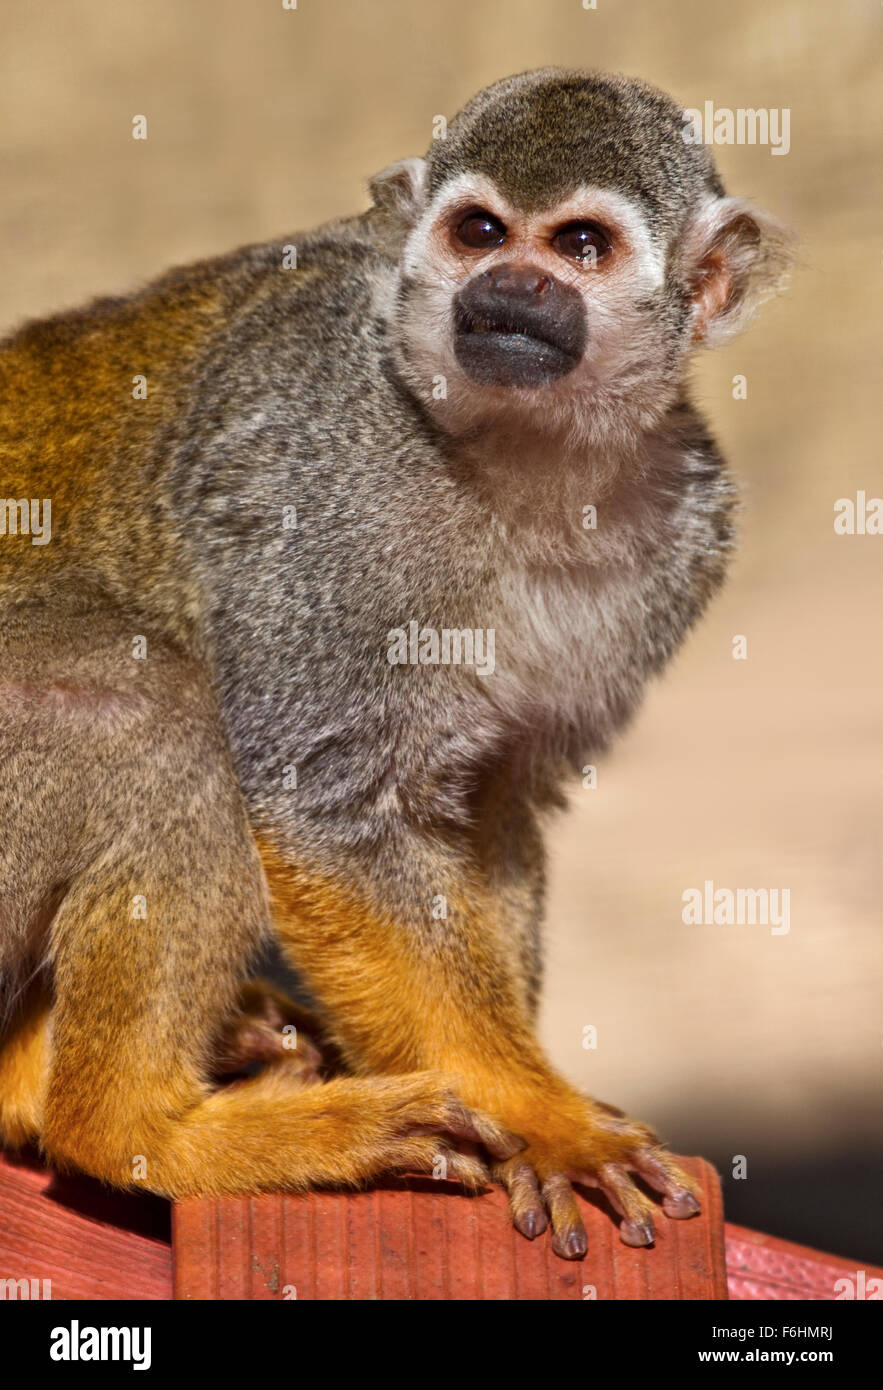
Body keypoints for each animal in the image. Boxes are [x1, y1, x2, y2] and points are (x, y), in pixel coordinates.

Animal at [0, 69, 792, 1260]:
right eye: (479, 233)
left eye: (580, 245)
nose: (509, 290)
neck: (524, 459)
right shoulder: (332, 501)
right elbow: (321, 801)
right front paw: (542, 1117)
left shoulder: (686, 530)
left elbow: (496, 804)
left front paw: (535, 1108)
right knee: (154, 709)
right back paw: (138, 1129)